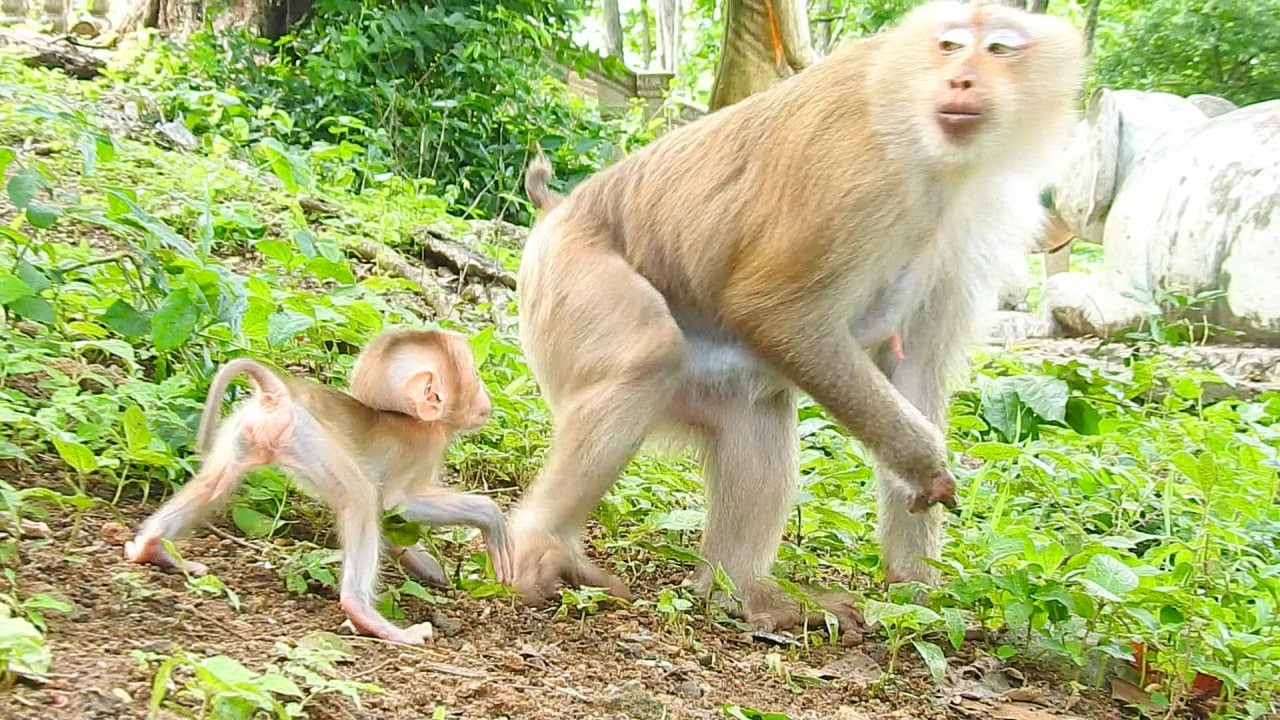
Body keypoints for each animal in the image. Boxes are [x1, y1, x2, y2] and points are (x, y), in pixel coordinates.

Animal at [123, 328, 513, 645]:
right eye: (474, 376)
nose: (486, 396)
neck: (412, 420)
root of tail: (279, 392)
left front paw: (423, 564)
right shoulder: (426, 446)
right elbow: (394, 503)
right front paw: (490, 517)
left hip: (244, 430)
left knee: (218, 479)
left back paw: (152, 546)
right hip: (310, 438)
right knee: (359, 497)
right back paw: (365, 613)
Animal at [512, 1, 1084, 631]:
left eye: (1000, 49)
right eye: (951, 46)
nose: (961, 80)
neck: (944, 161)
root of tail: (557, 212)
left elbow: (914, 369)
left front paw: (916, 592)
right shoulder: (863, 180)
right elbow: (774, 311)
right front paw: (924, 462)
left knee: (754, 408)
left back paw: (746, 592)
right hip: (564, 278)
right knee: (648, 354)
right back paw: (539, 542)